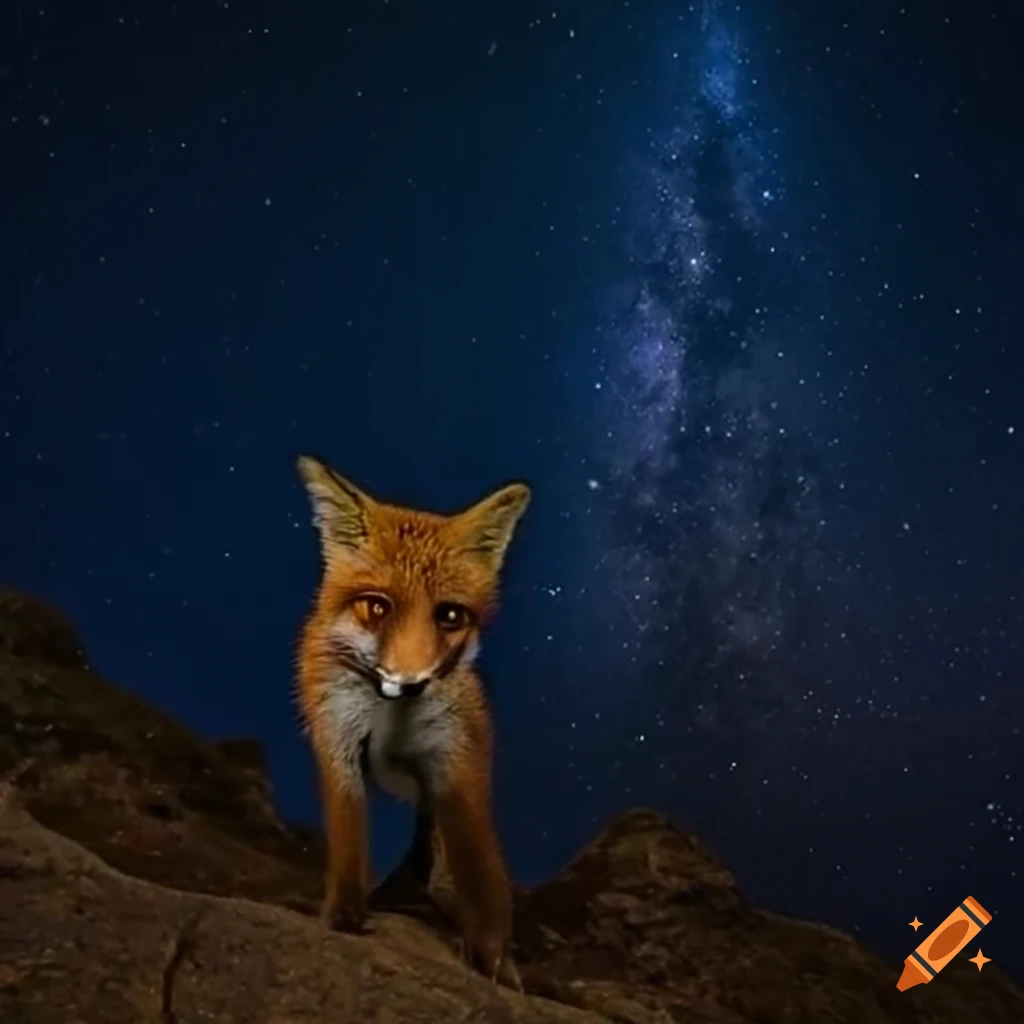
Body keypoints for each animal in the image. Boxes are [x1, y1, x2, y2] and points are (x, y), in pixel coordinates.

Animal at [293, 454, 531, 988]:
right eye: (376, 606)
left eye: (450, 616)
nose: (410, 682)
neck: (389, 720)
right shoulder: (338, 743)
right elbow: (348, 848)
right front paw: (343, 920)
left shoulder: (452, 765)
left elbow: (482, 878)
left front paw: (494, 966)